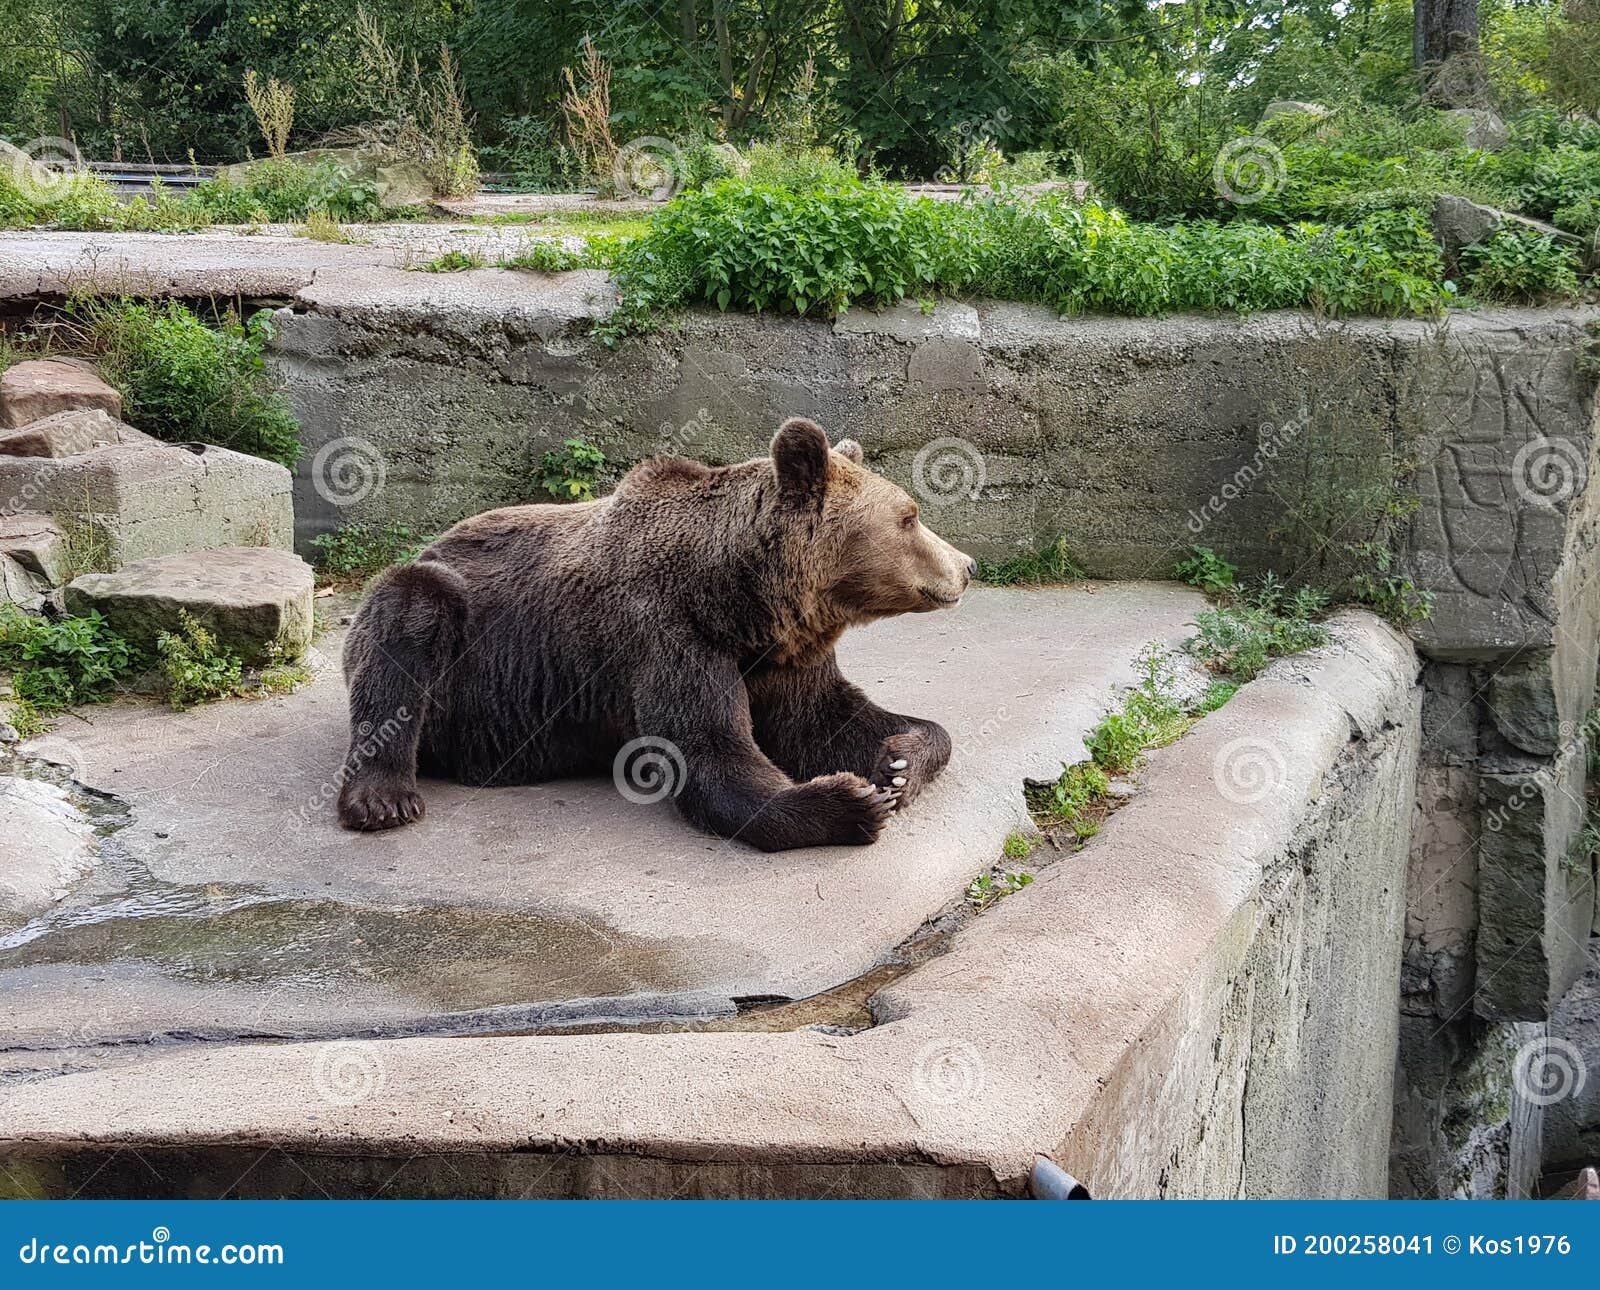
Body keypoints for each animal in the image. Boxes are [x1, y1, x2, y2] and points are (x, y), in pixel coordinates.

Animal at [336, 416, 976, 851]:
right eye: (911, 516)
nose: (966, 565)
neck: (738, 601)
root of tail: (434, 541)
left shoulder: (782, 657)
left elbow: (829, 718)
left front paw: (897, 763)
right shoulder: (665, 636)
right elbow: (709, 752)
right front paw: (848, 800)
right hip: (457, 648)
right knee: (408, 625)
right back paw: (382, 798)